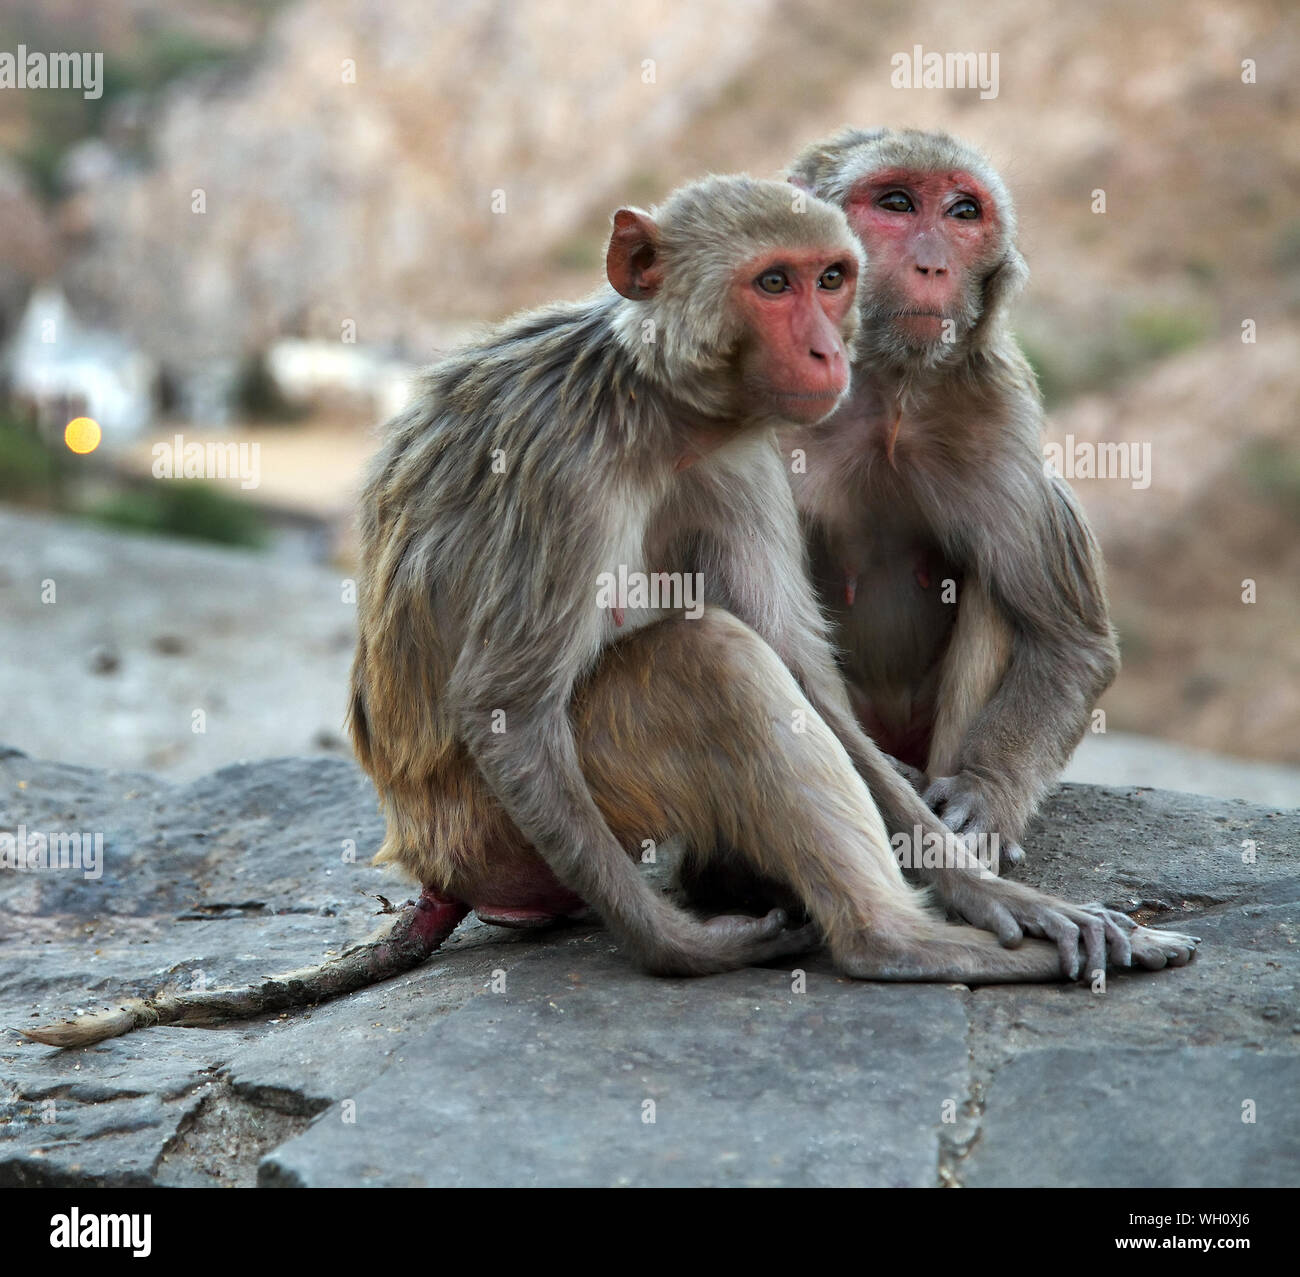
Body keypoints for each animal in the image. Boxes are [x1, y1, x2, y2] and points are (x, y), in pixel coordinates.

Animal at [781, 126, 1121, 868]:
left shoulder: (1003, 412)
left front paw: (985, 794)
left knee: (998, 586)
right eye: (897, 203)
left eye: (964, 212)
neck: (890, 388)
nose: (933, 265)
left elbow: (1067, 641)